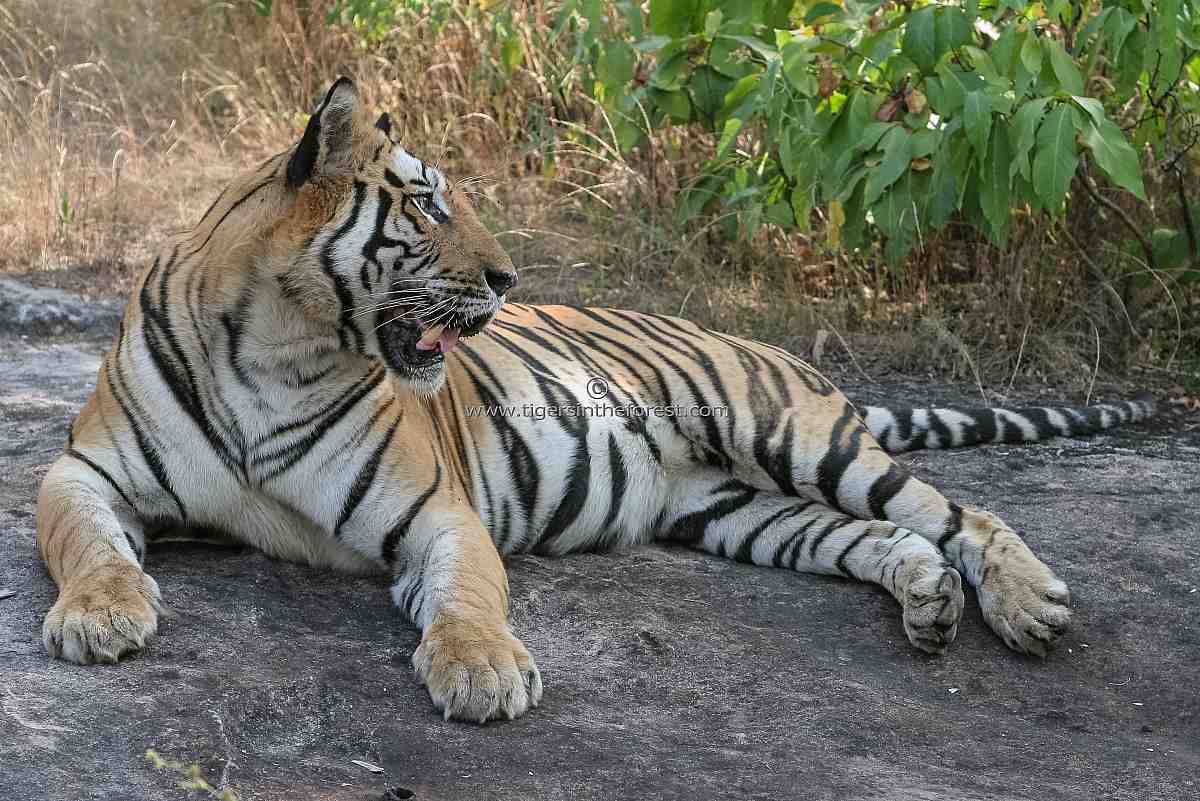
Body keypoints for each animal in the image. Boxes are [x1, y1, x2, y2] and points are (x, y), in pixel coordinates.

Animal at [36, 78, 1156, 723]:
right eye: (428, 204)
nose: (507, 277)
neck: (277, 343)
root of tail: (757, 342)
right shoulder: (83, 470)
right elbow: (85, 543)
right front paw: (99, 617)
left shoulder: (436, 510)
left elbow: (471, 593)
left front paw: (483, 672)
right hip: (736, 511)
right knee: (881, 537)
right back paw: (928, 604)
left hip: (791, 434)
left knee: (960, 510)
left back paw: (1029, 606)